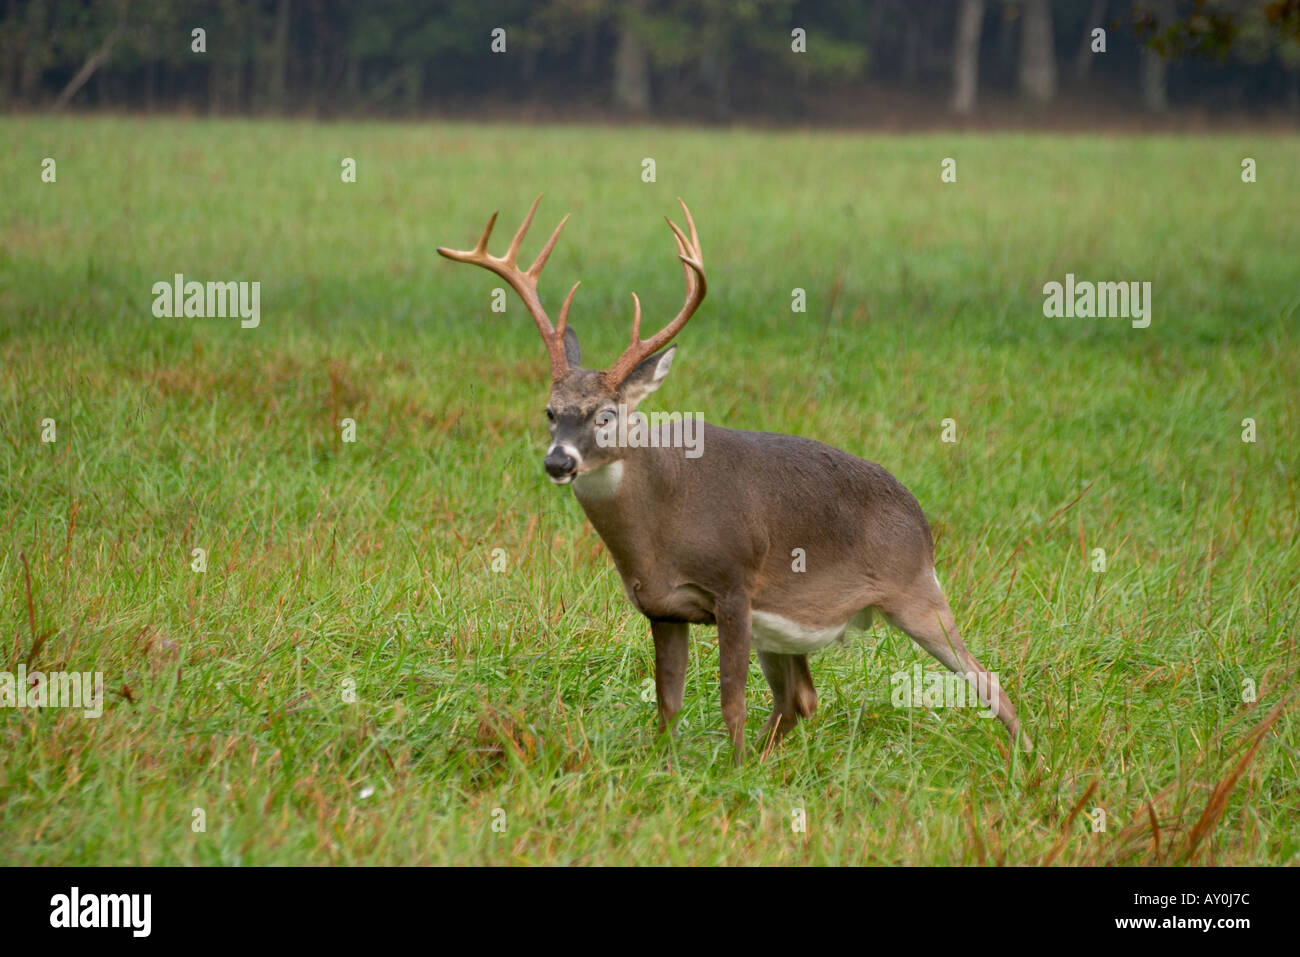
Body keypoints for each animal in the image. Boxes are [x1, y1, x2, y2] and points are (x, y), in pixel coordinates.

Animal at [438, 196, 1032, 762]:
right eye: (549, 411)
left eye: (606, 415)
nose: (558, 462)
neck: (659, 522)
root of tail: (920, 518)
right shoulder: (662, 606)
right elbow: (668, 702)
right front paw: (670, 768)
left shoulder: (733, 585)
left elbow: (731, 700)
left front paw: (731, 773)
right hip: (789, 626)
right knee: (800, 698)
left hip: (914, 590)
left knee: (988, 682)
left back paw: (1026, 762)